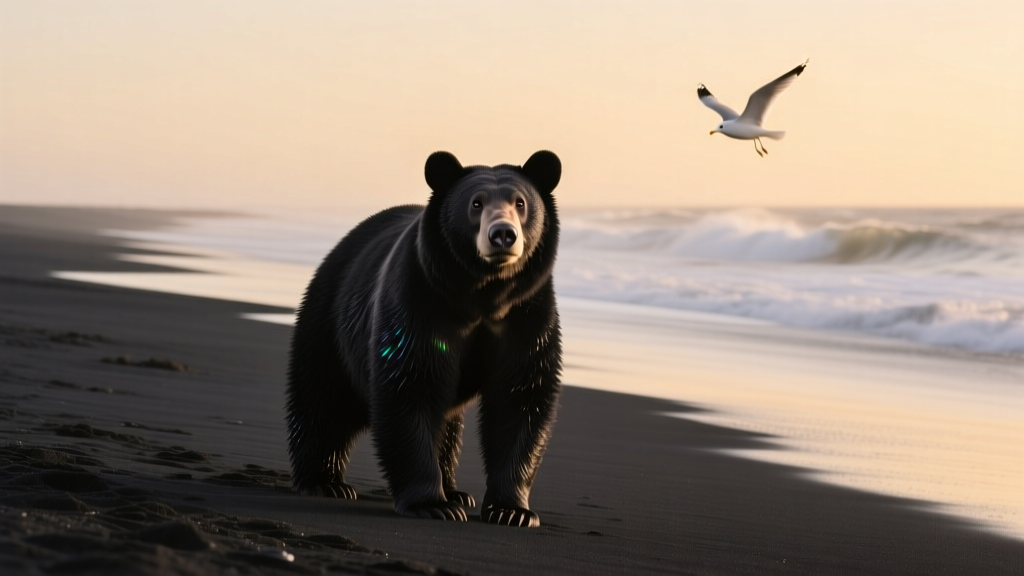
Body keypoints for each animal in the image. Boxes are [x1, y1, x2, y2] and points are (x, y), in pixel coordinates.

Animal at [285, 150, 563, 527]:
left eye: (520, 202)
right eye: (476, 203)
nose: (503, 235)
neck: (483, 297)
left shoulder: (527, 317)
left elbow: (520, 397)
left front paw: (512, 510)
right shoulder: (420, 303)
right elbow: (410, 387)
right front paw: (431, 503)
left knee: (447, 424)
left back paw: (456, 490)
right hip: (329, 316)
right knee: (322, 396)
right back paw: (323, 481)